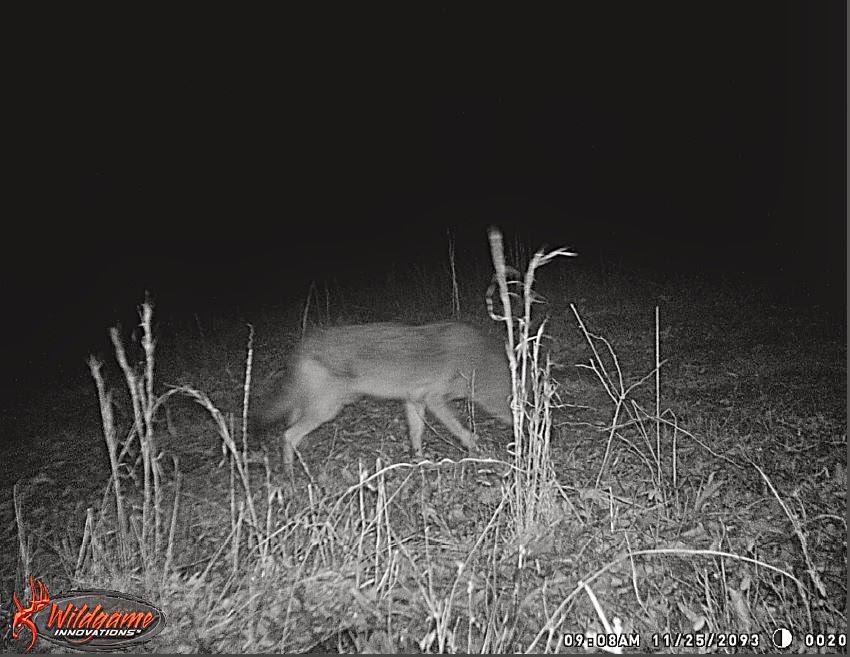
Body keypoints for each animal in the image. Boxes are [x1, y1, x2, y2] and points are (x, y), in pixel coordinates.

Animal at [253, 321, 512, 470]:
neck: (480, 362)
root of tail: (304, 343)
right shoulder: (434, 400)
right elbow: (464, 432)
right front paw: (478, 452)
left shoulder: (415, 400)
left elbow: (416, 434)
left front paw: (418, 461)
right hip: (326, 410)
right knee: (287, 435)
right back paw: (290, 474)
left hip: (315, 406)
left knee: (290, 428)